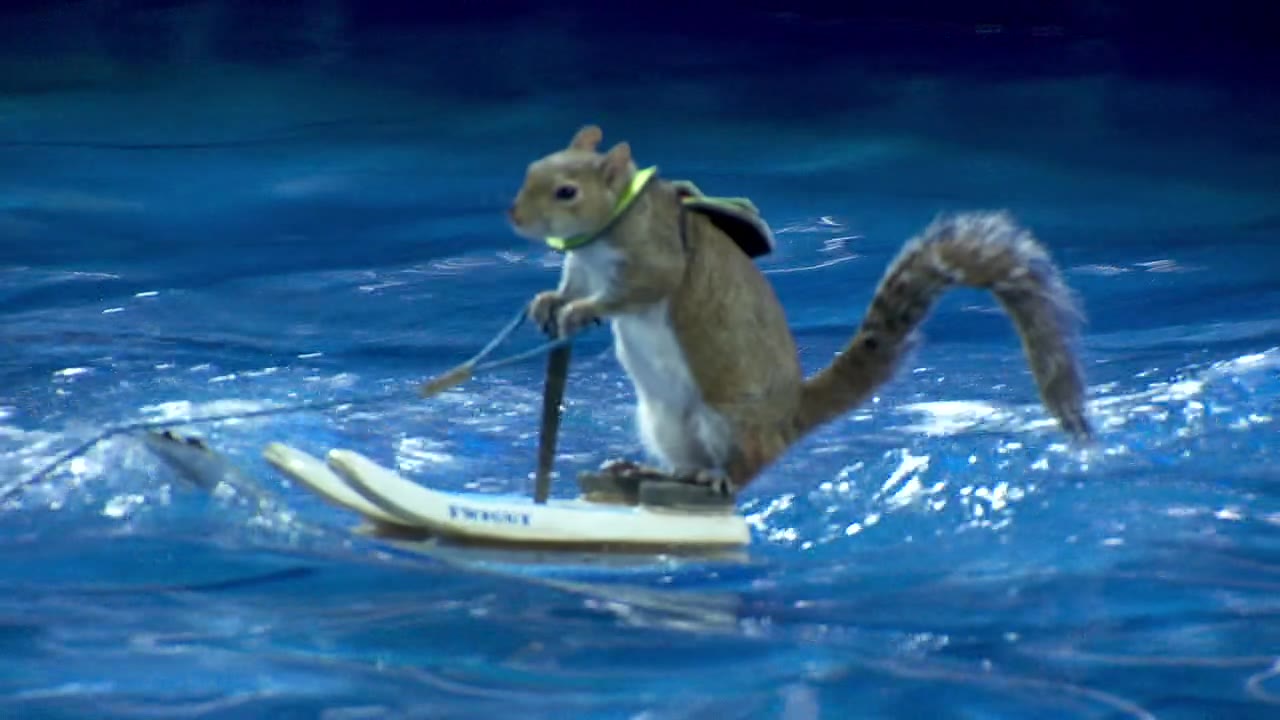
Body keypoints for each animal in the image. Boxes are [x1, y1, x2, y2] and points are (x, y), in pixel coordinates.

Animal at [506, 125, 1092, 509]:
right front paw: (548, 303)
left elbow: (641, 288)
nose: (513, 215)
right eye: (530, 169)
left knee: (747, 465)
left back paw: (716, 481)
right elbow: (569, 287)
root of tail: (791, 416)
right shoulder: (582, 265)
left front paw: (582, 311)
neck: (607, 228)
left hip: (728, 418)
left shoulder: (655, 256)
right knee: (691, 463)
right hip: (667, 422)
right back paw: (653, 469)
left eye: (566, 191)